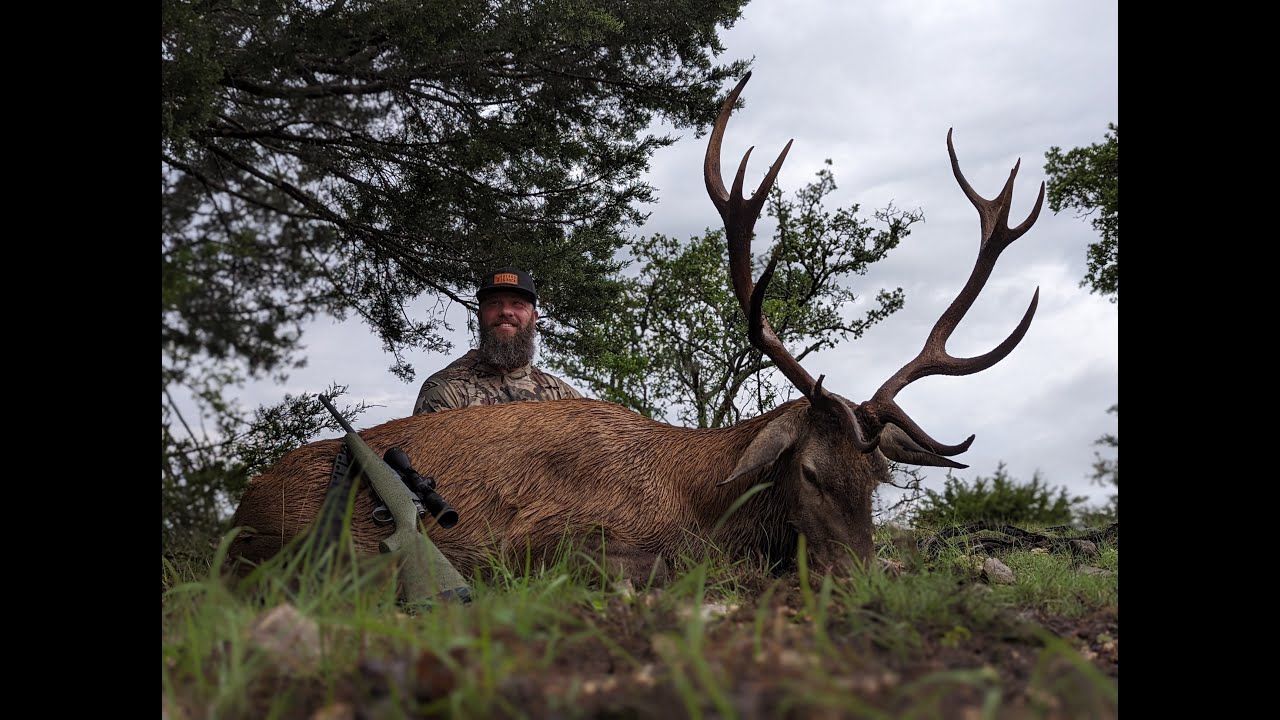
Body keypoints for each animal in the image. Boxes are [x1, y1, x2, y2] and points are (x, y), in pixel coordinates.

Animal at [226, 71, 1043, 585]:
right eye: (810, 471)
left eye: (875, 478)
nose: (859, 579)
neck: (701, 501)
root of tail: (236, 512)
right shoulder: (551, 543)